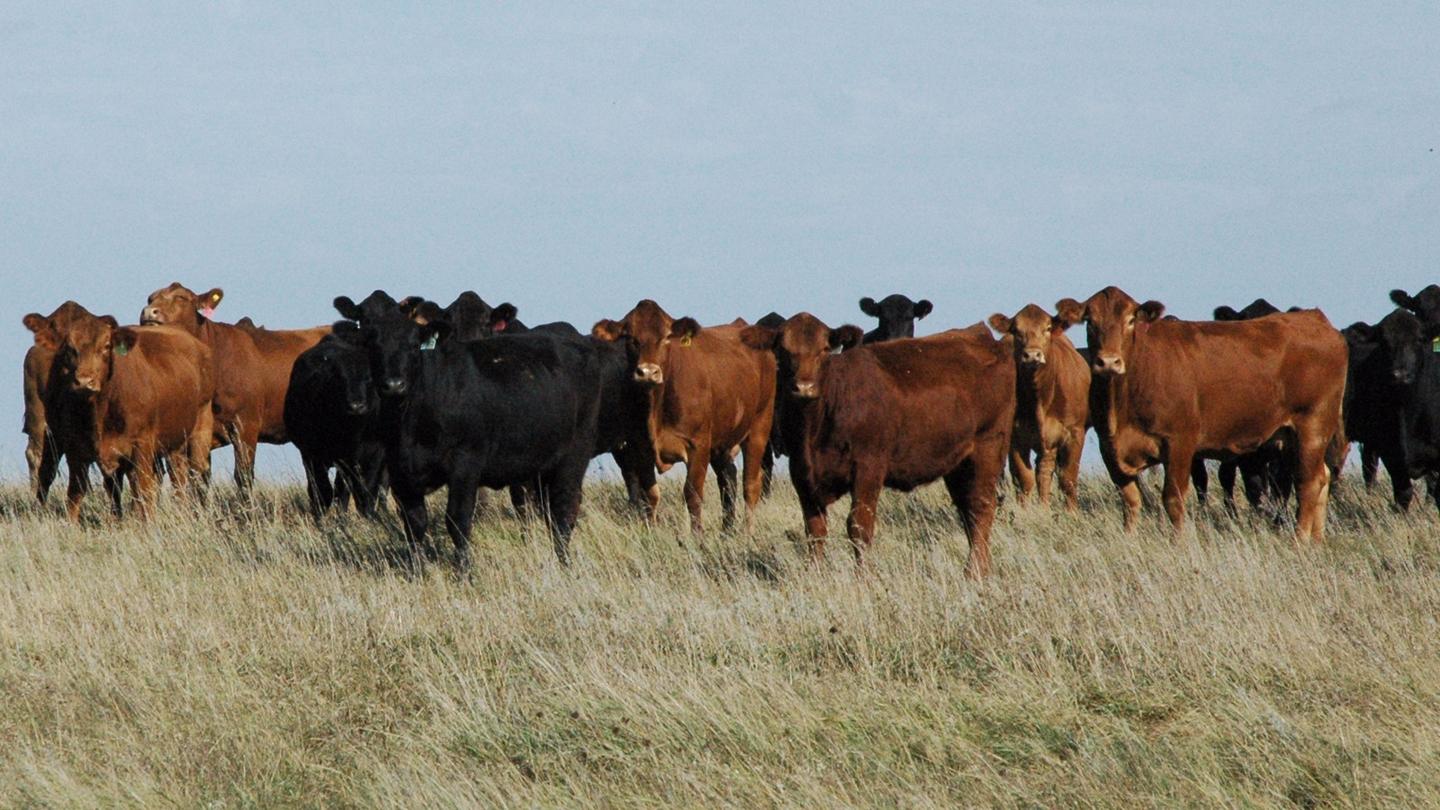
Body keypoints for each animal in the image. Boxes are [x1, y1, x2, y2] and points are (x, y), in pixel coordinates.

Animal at [140, 283, 329, 490]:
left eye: (181, 297)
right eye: (150, 298)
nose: (149, 312)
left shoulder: (246, 425)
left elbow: (243, 476)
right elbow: (196, 479)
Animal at [592, 300, 777, 534]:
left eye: (665, 337)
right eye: (632, 338)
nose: (648, 372)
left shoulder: (698, 445)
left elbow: (693, 494)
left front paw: (698, 536)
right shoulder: (640, 447)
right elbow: (649, 496)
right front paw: (651, 534)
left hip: (759, 427)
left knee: (751, 485)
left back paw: (747, 532)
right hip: (721, 440)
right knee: (728, 478)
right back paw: (727, 530)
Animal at [740, 316, 1014, 576]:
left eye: (824, 349)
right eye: (783, 350)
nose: (804, 386)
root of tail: (983, 336)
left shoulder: (868, 467)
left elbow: (859, 526)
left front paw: (864, 578)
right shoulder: (802, 473)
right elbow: (814, 530)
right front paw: (814, 574)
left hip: (988, 447)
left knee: (981, 508)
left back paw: (975, 573)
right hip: (957, 464)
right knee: (967, 511)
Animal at [987, 304, 1089, 512]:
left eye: (1047, 328)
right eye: (1016, 330)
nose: (1032, 355)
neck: (1040, 397)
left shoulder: (1074, 433)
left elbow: (1068, 478)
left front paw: (1072, 513)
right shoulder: (1015, 437)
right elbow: (1023, 478)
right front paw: (1025, 511)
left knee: (1045, 471)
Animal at [1056, 287, 1346, 540]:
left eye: (1130, 320)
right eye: (1090, 322)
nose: (1108, 362)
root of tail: (1313, 318)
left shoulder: (1179, 443)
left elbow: (1173, 499)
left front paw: (1179, 542)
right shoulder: (1110, 447)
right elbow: (1130, 500)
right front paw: (1129, 538)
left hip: (1313, 427)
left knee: (1308, 483)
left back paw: (1300, 541)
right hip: (1290, 437)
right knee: (1322, 477)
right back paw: (1316, 540)